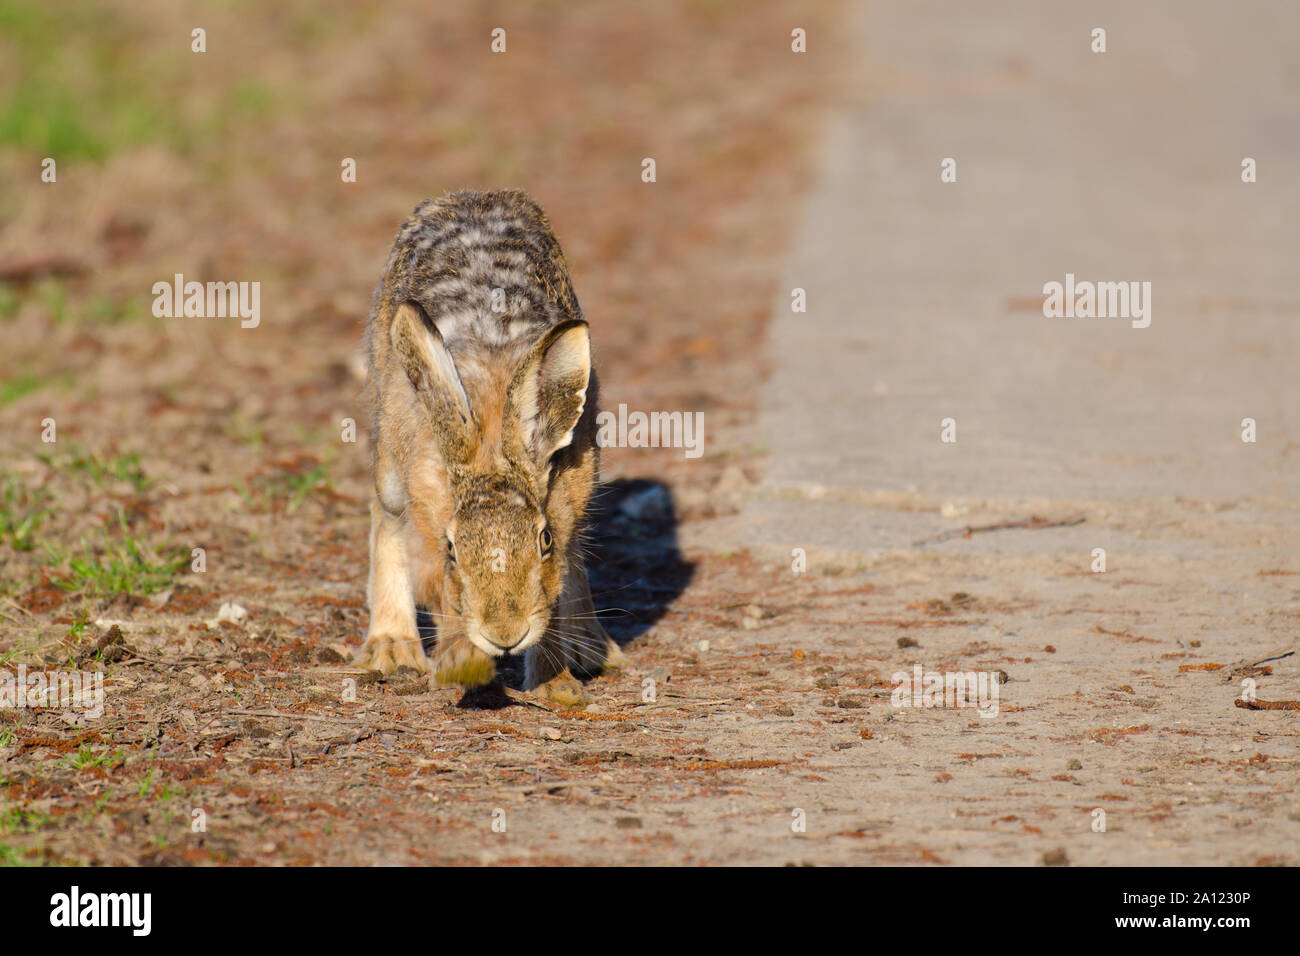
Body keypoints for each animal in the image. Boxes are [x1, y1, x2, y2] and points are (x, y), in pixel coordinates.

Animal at [355, 189, 625, 706]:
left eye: (544, 539)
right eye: (453, 547)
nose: (505, 634)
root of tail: (467, 196)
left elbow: (555, 596)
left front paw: (557, 686)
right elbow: (444, 596)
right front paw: (462, 666)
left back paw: (593, 648)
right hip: (391, 464)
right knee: (384, 515)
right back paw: (392, 649)